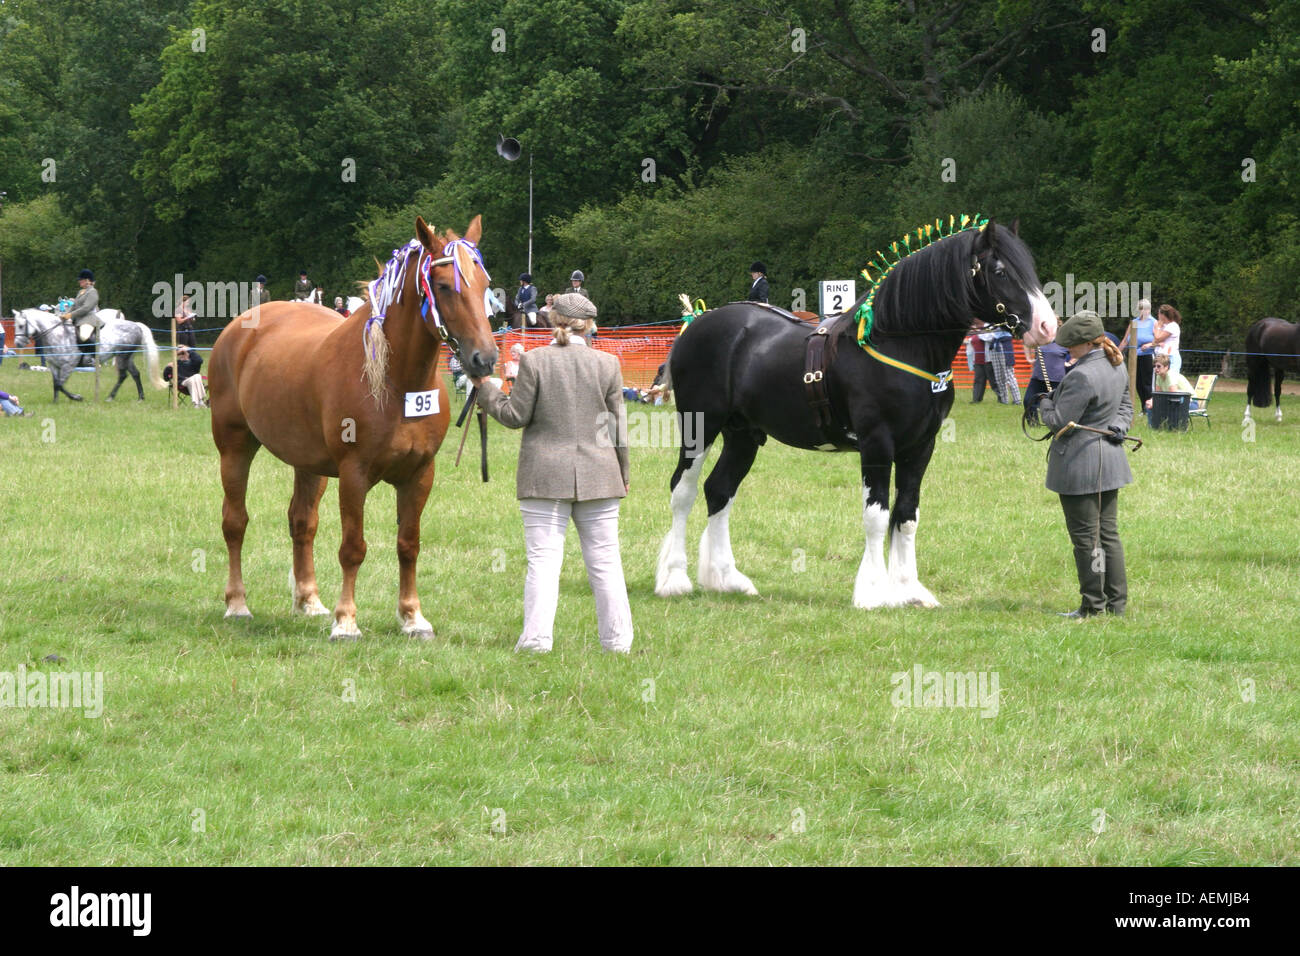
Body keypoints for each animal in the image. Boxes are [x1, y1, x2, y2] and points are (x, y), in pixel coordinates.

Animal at [209, 215, 498, 640]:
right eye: (444, 286)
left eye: (485, 284)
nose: (485, 358)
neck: (395, 381)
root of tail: (240, 326)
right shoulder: (354, 474)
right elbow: (352, 548)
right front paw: (346, 621)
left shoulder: (420, 474)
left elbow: (408, 544)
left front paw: (413, 617)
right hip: (234, 447)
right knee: (234, 521)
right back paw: (237, 604)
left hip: (308, 464)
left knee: (302, 522)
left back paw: (308, 601)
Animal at [654, 216, 1058, 609]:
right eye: (1000, 270)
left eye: (1029, 266)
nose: (1046, 326)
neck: (896, 345)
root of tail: (697, 323)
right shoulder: (877, 443)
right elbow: (876, 517)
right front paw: (873, 593)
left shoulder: (920, 447)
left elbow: (907, 515)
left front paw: (909, 590)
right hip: (700, 426)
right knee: (683, 491)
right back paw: (674, 580)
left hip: (743, 435)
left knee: (719, 490)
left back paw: (728, 580)